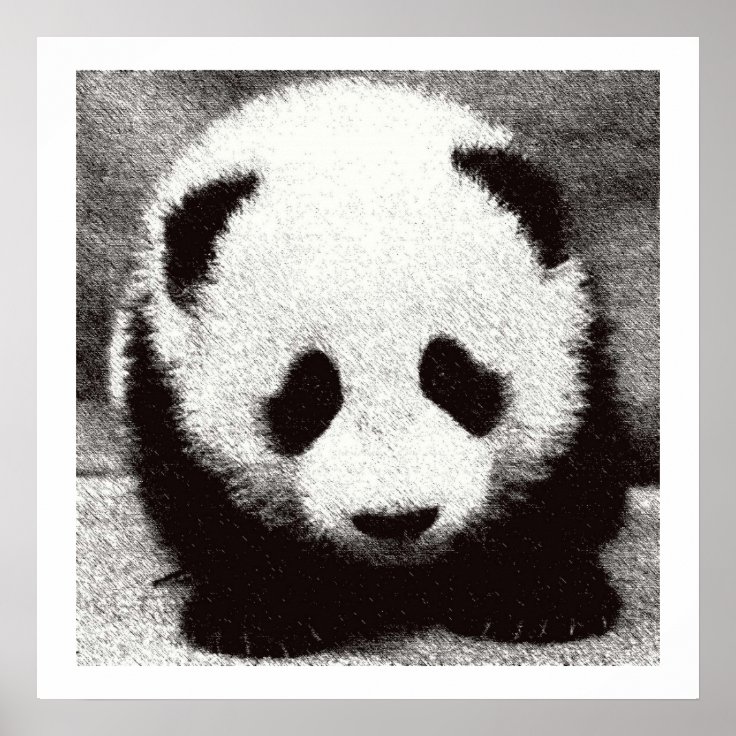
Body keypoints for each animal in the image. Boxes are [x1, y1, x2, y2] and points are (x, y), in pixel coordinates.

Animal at [110, 78, 627, 658]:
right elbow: (203, 499)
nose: (398, 520)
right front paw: (266, 609)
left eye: (452, 377)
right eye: (310, 394)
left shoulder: (579, 352)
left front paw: (536, 596)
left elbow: (569, 473)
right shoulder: (159, 372)